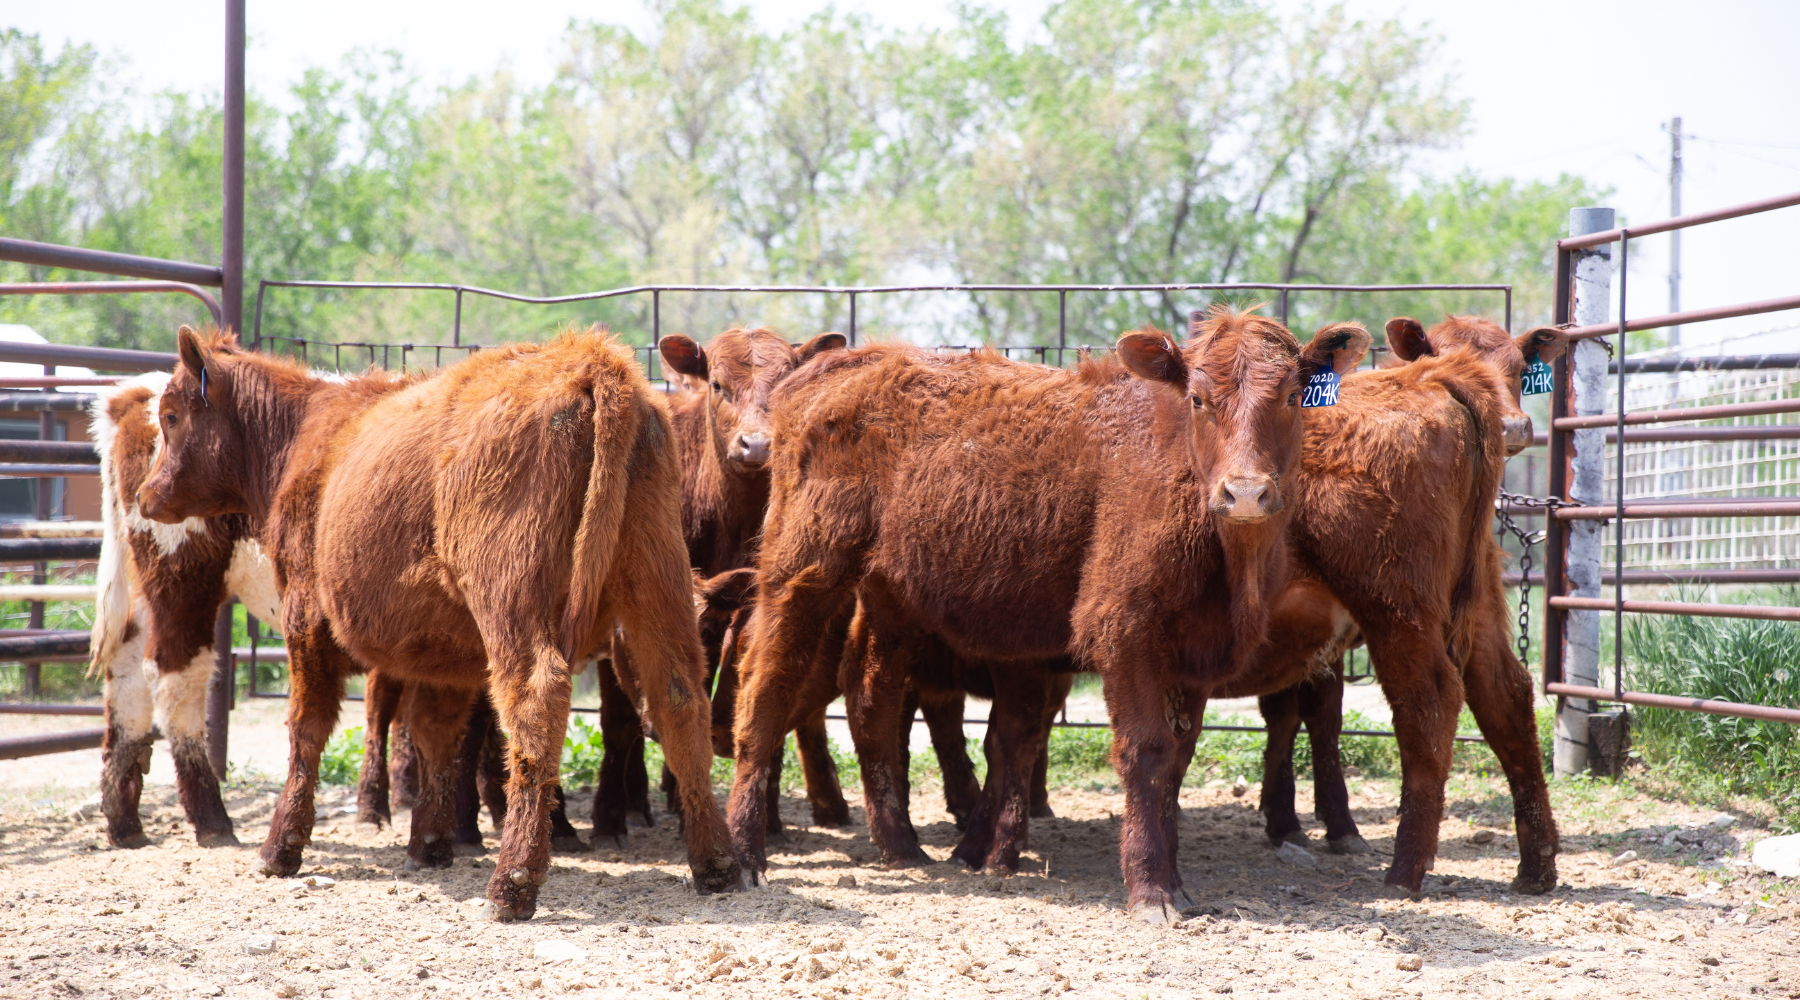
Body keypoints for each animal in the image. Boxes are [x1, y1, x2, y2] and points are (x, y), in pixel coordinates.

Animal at [136, 326, 741, 920]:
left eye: (171, 415)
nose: (145, 494)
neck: (304, 435)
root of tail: (590, 361)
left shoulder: (305, 617)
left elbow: (308, 726)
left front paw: (280, 847)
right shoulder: (442, 649)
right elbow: (434, 733)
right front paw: (429, 842)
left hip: (513, 603)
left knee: (535, 702)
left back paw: (513, 883)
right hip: (658, 588)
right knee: (680, 699)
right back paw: (716, 863)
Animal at [727, 306, 1369, 924]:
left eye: (1291, 395)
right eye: (1198, 399)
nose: (1245, 493)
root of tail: (847, 363)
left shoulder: (1196, 657)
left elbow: (1175, 763)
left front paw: (1176, 882)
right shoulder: (1124, 630)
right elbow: (1146, 752)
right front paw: (1150, 887)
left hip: (894, 598)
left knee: (872, 702)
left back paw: (902, 845)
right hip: (802, 572)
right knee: (765, 692)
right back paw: (745, 853)